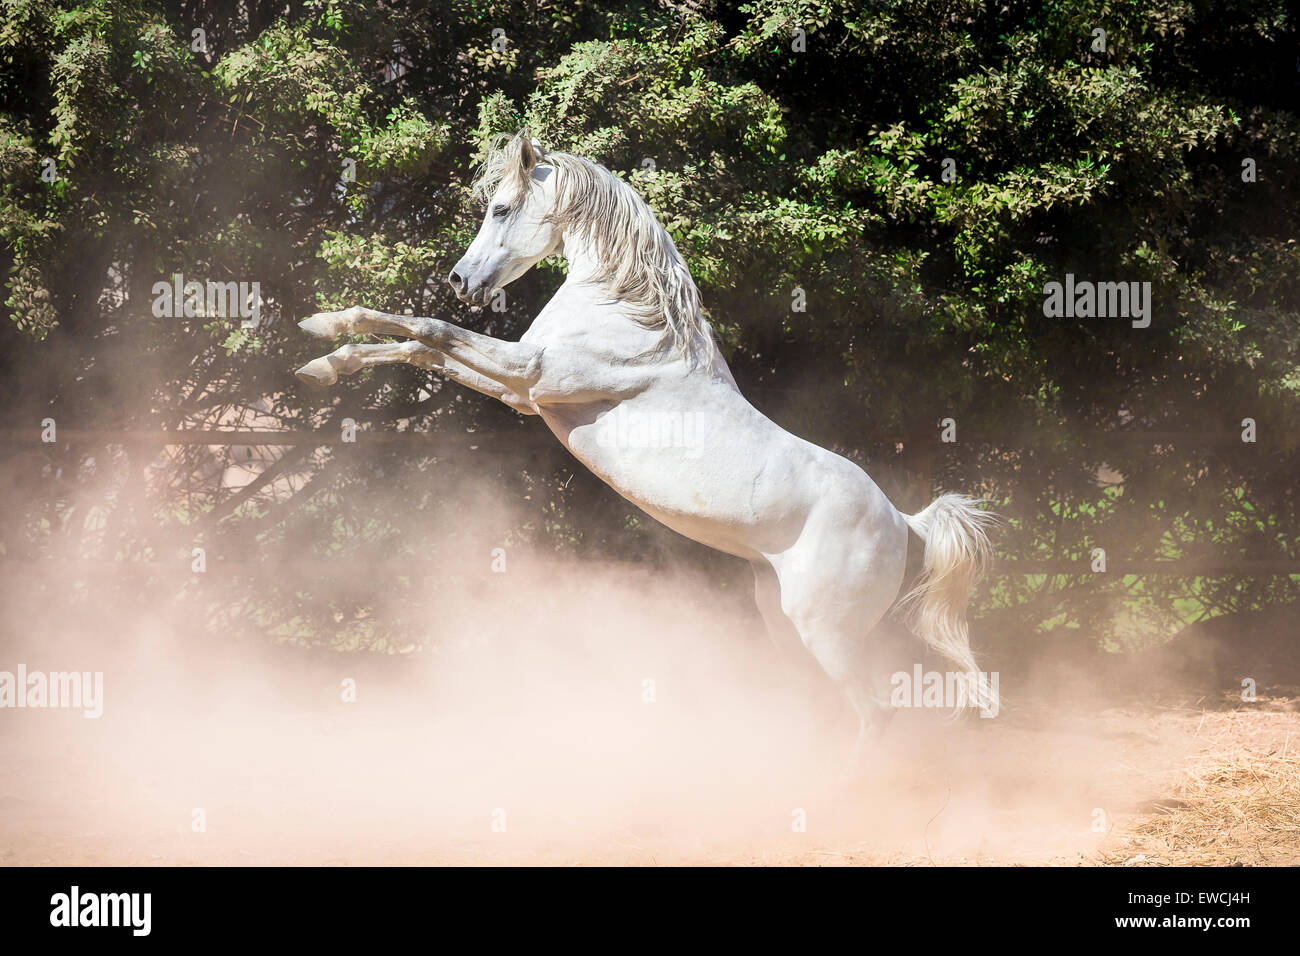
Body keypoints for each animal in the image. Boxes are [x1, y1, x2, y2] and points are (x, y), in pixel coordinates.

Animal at [295, 130, 997, 764]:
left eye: (500, 207)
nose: (461, 279)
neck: (628, 314)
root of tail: (905, 523)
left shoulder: (532, 374)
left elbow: (428, 329)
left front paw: (323, 331)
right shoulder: (524, 394)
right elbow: (419, 348)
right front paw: (323, 357)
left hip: (827, 631)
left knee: (876, 713)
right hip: (785, 623)